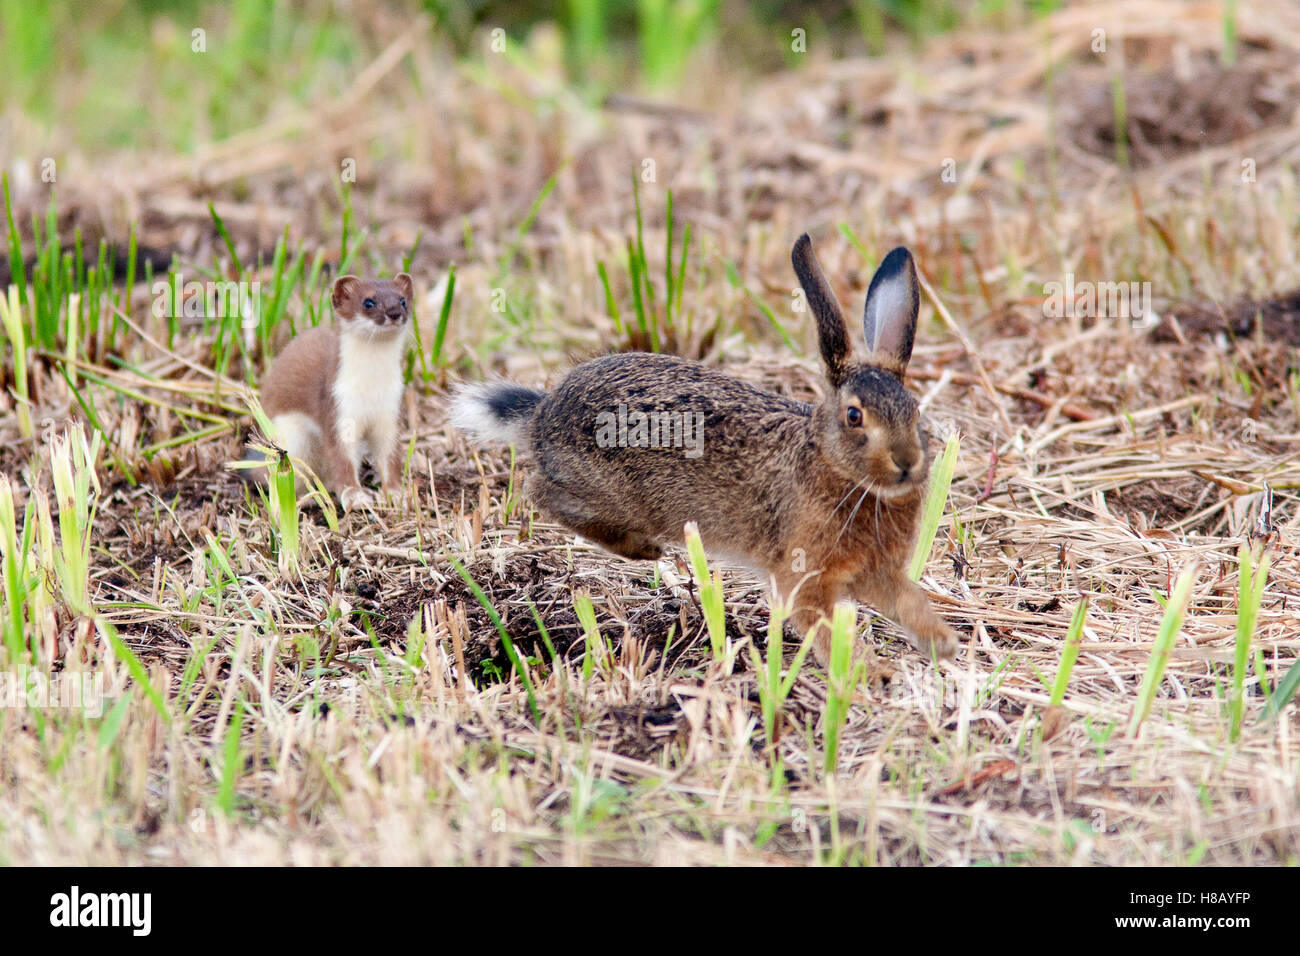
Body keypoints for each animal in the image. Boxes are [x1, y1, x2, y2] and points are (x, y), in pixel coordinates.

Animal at [451, 234, 958, 666]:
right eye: (855, 417)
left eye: (914, 410)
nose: (907, 463)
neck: (833, 466)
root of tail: (543, 415)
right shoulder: (803, 575)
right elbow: (823, 627)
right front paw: (869, 673)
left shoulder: (879, 573)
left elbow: (909, 602)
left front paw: (943, 644)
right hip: (606, 490)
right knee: (539, 491)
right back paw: (644, 548)